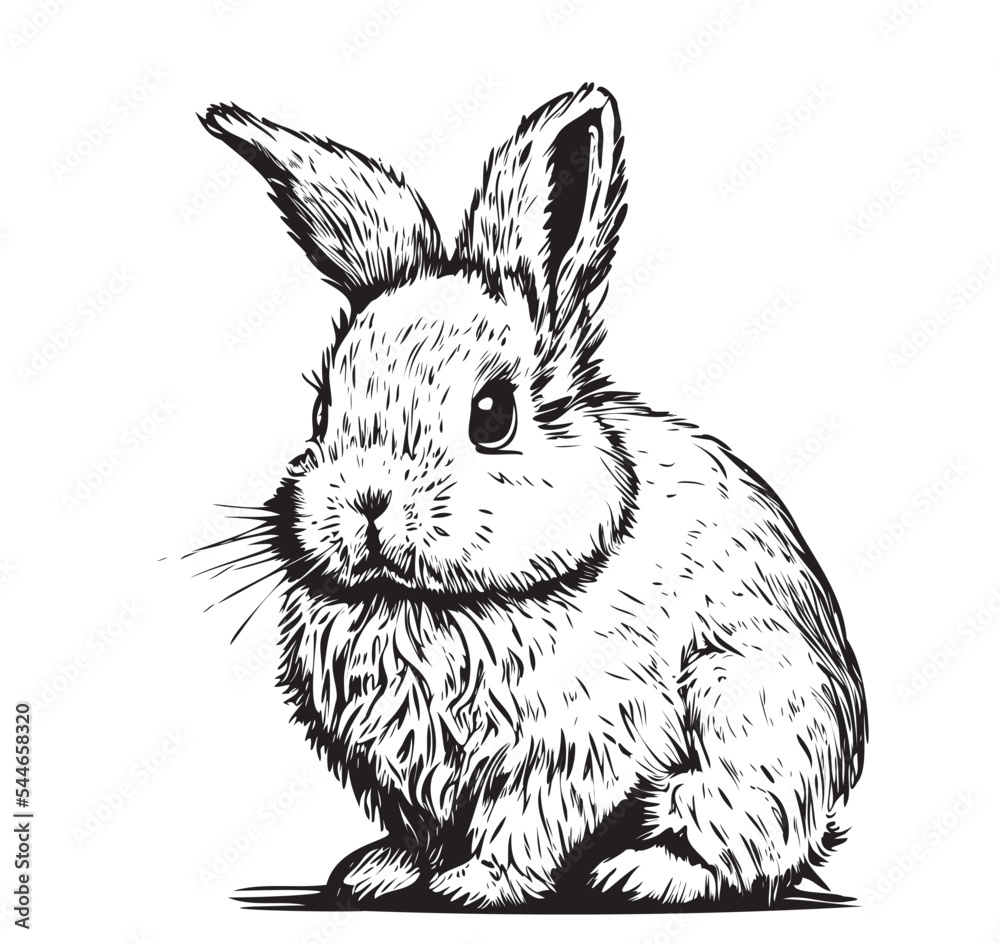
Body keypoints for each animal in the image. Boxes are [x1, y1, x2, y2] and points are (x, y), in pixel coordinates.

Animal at [199, 83, 866, 910]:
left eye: (492, 414)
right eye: (323, 408)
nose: (368, 505)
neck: (436, 606)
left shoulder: (575, 747)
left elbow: (526, 823)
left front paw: (475, 886)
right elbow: (421, 829)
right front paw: (377, 874)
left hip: (746, 718)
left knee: (744, 846)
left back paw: (642, 875)